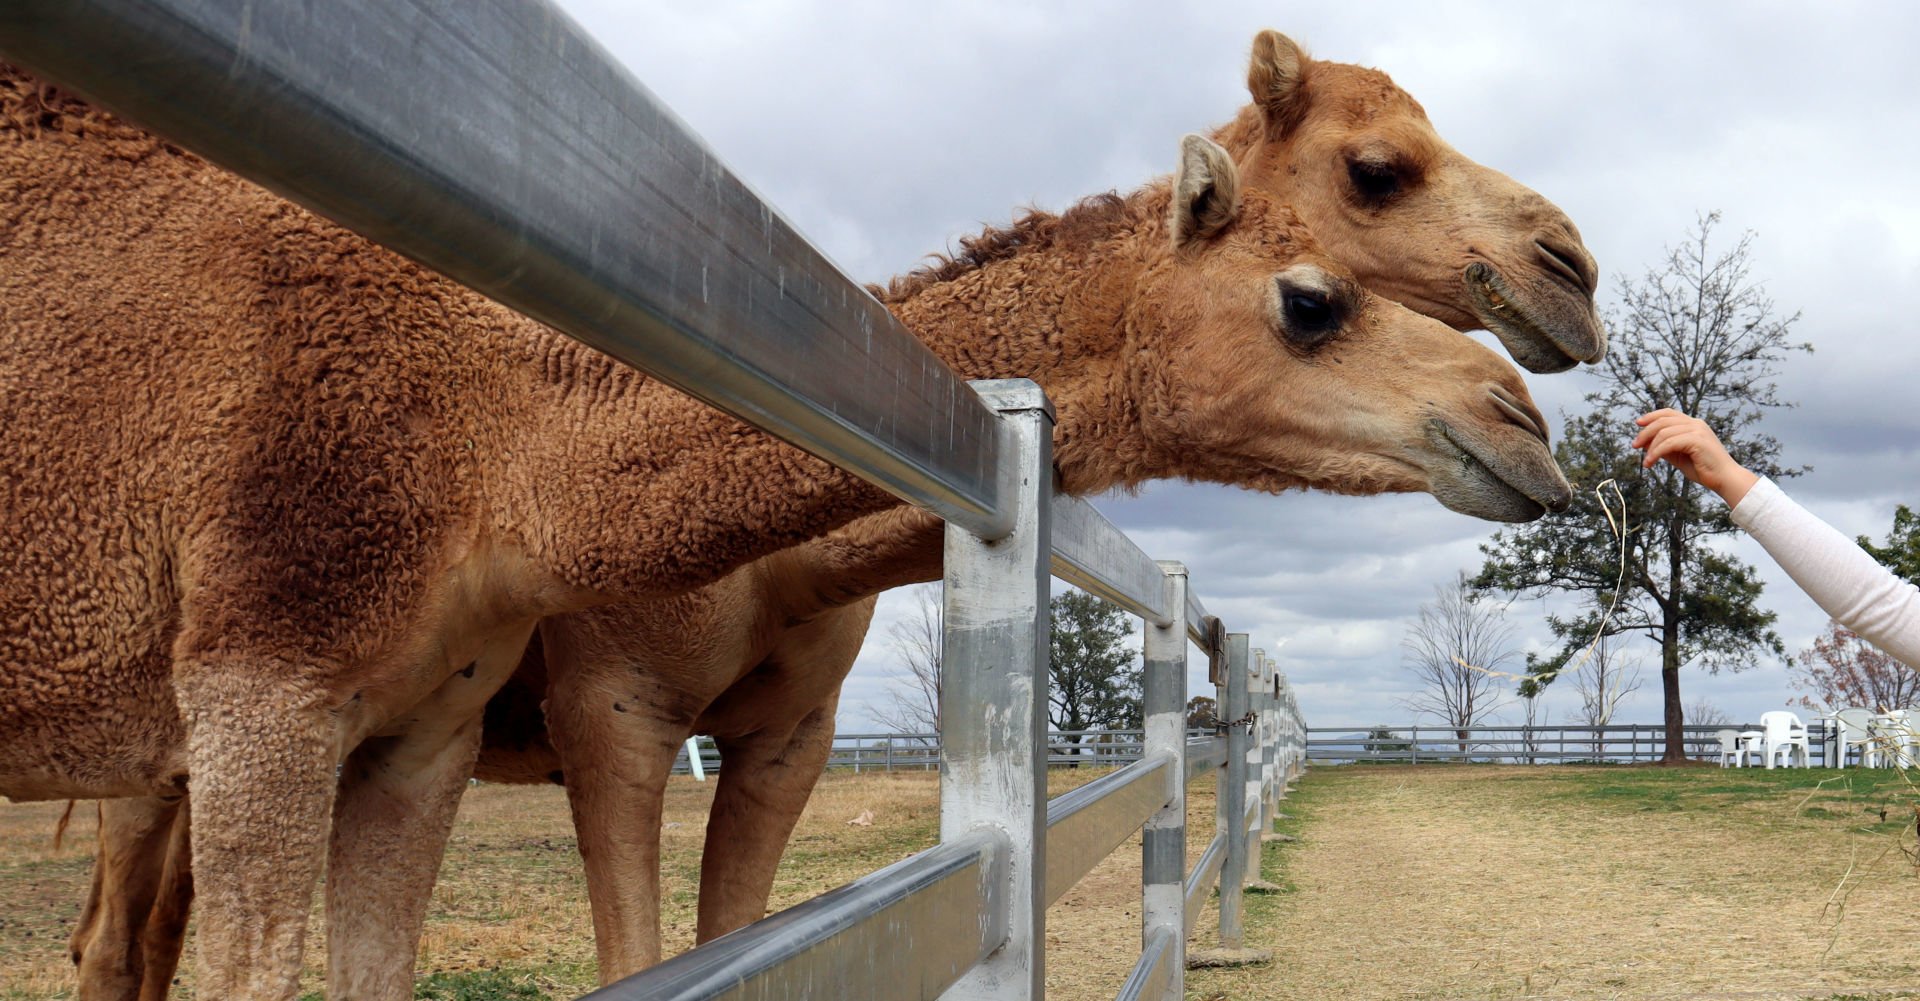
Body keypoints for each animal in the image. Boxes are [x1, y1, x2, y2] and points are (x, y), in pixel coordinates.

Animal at [46, 29, 1601, 996]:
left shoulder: (789, 736)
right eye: (1374, 172)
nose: (1569, 282)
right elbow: (639, 951)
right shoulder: (612, 713)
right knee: (121, 937)